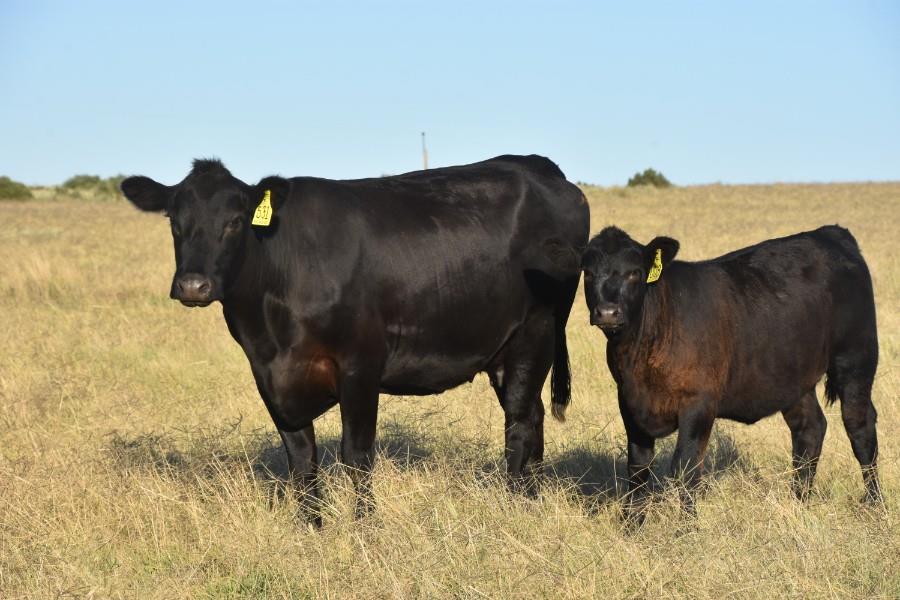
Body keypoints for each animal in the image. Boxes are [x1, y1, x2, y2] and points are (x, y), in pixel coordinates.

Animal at [121, 155, 589, 525]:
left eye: (235, 222)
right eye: (175, 222)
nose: (193, 285)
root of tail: (538, 166)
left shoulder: (360, 364)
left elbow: (357, 454)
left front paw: (366, 526)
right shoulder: (270, 376)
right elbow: (301, 456)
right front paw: (311, 527)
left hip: (535, 331)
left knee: (520, 422)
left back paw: (515, 503)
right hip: (506, 349)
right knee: (533, 415)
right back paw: (532, 496)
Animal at [580, 225, 881, 524]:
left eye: (635, 272)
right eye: (589, 273)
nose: (608, 312)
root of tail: (831, 233)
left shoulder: (699, 404)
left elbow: (686, 467)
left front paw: (686, 528)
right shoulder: (629, 402)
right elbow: (638, 468)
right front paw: (631, 526)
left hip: (855, 359)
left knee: (860, 427)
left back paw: (874, 504)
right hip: (792, 376)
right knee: (809, 429)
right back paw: (799, 502)